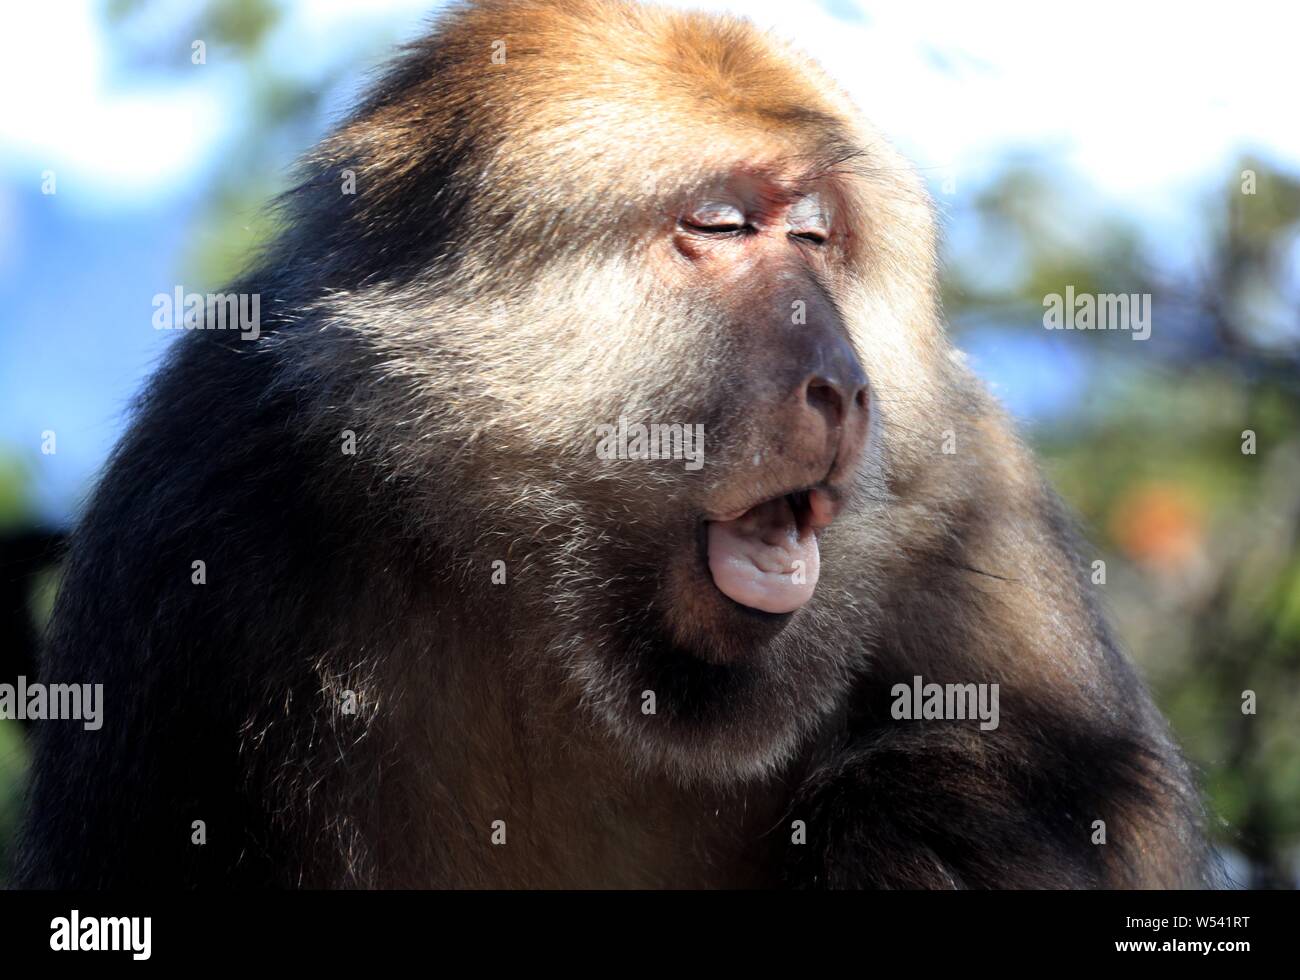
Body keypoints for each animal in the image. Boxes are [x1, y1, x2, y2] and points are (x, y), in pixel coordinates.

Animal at [13, 0, 1211, 889]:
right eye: (721, 226)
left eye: (815, 236)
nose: (844, 382)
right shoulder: (200, 501)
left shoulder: (968, 495)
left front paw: (913, 826)